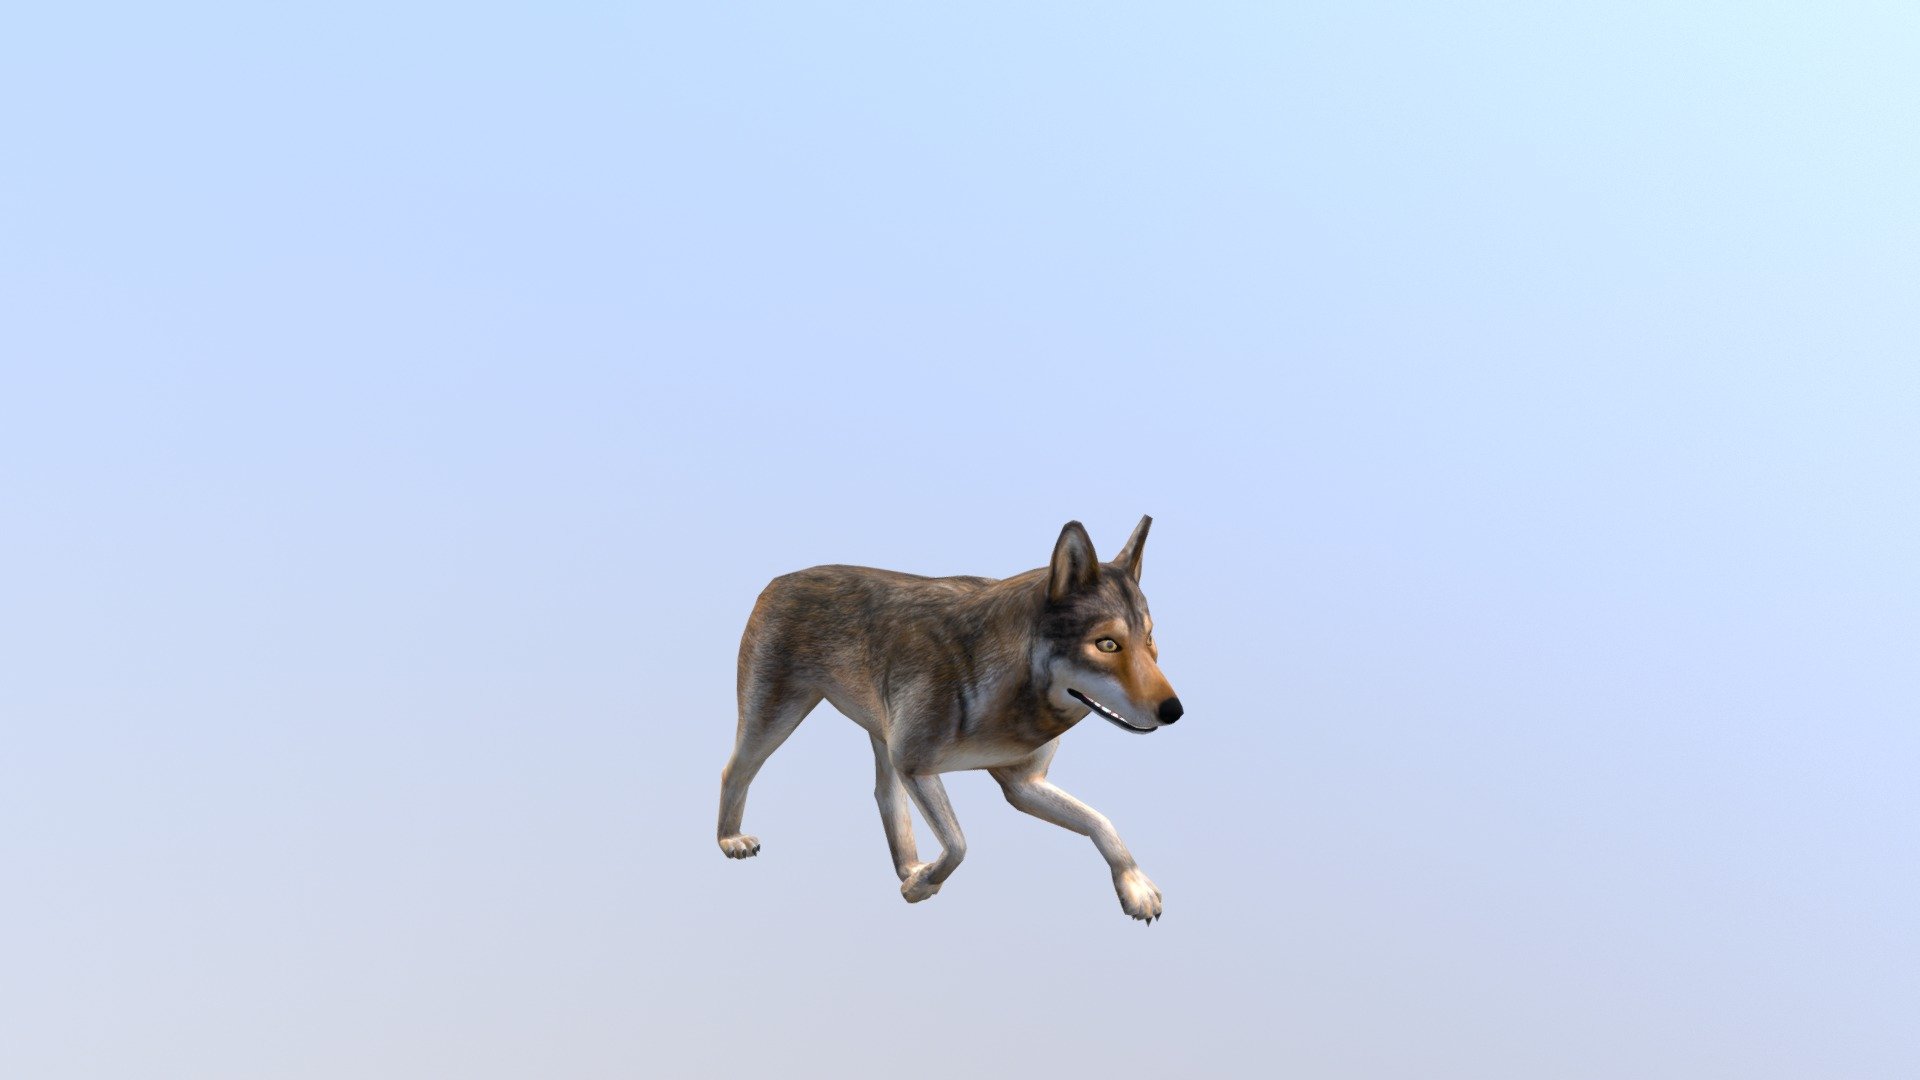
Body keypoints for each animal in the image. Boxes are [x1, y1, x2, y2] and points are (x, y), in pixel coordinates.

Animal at [716, 515, 1183, 923]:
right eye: (1107, 644)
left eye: (1150, 639)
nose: (1175, 711)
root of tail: (780, 579)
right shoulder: (918, 768)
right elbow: (959, 844)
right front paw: (922, 887)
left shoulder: (1022, 786)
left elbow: (1101, 821)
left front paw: (1135, 886)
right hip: (774, 723)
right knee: (733, 771)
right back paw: (730, 840)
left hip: (884, 743)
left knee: (884, 797)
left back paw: (909, 866)